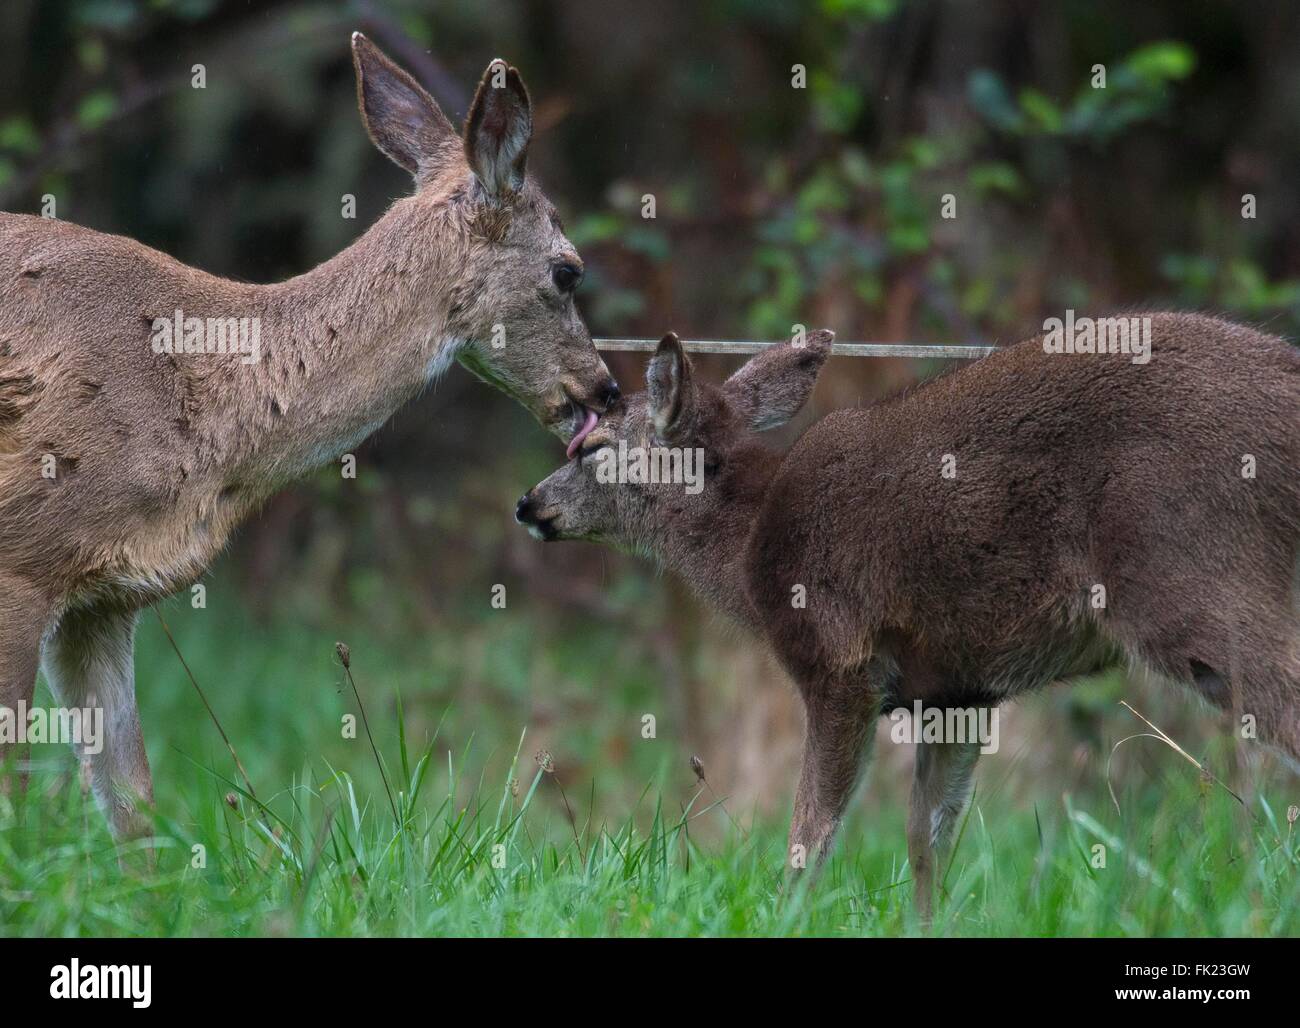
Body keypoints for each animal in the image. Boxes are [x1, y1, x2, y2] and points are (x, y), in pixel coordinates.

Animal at [516, 315, 1300, 918]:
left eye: (594, 448)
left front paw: (787, 916)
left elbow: (811, 832)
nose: (529, 504)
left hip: (1192, 581)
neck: (748, 552)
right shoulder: (960, 690)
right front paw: (926, 923)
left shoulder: (839, 660)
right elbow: (929, 841)